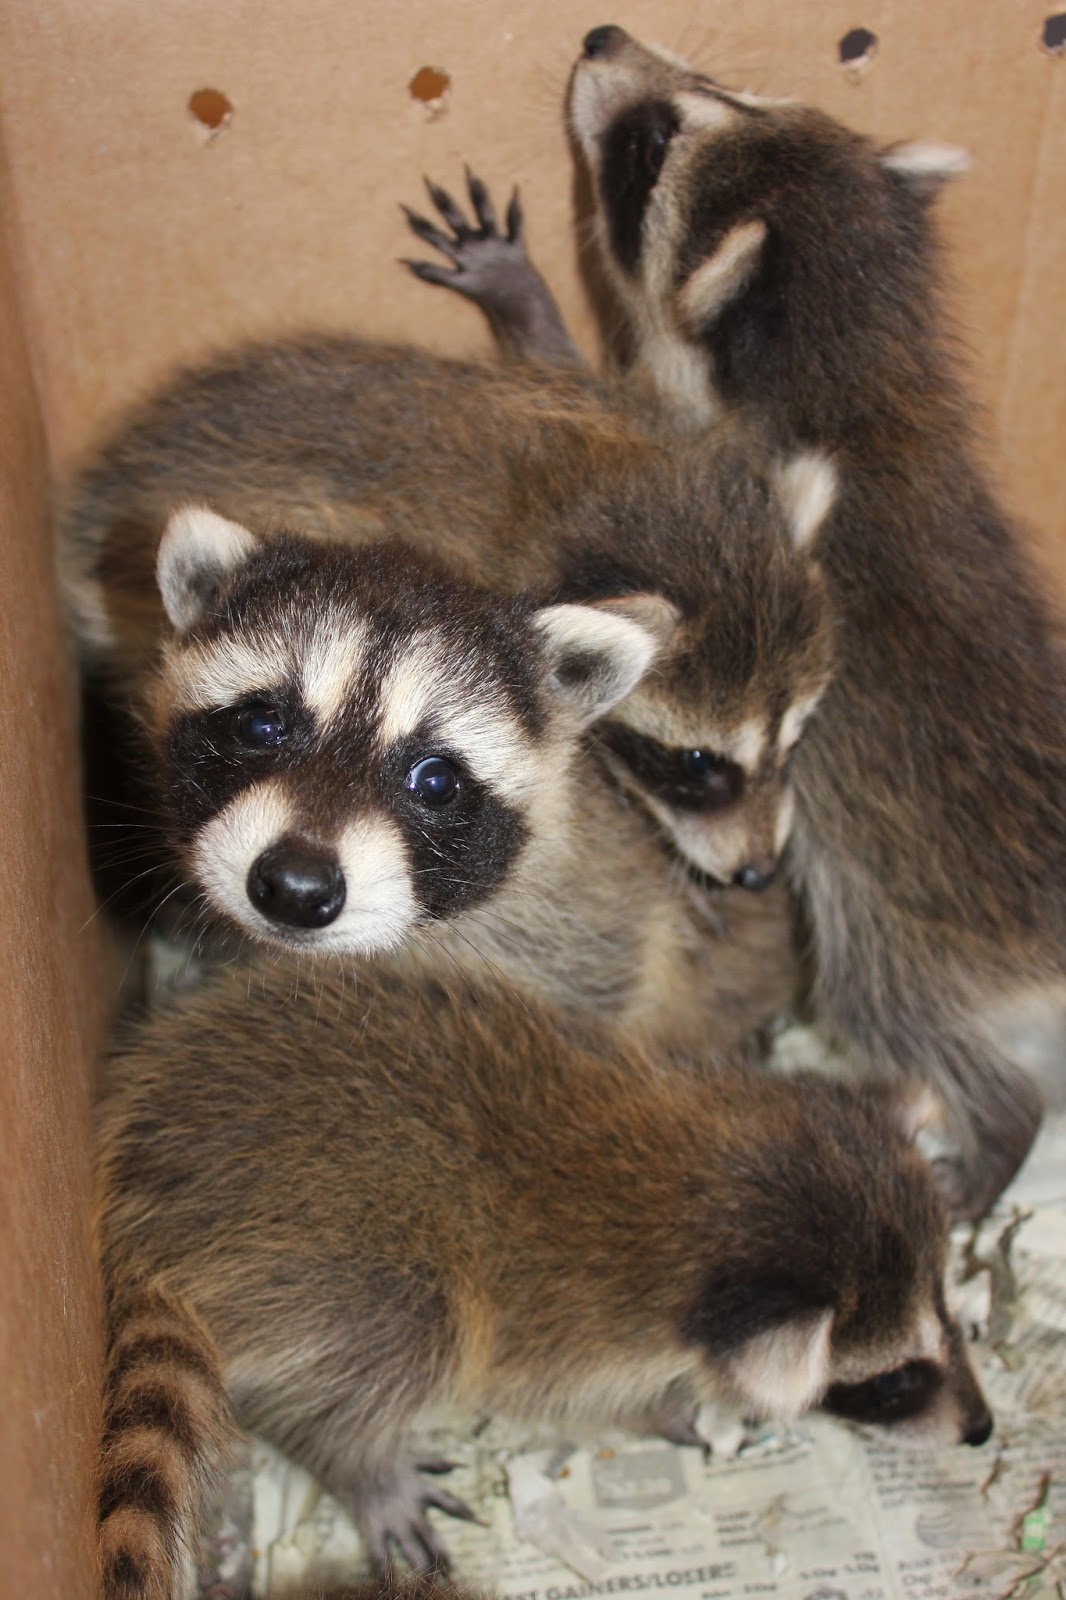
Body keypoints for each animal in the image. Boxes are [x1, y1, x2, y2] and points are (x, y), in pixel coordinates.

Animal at [96, 957, 991, 1597]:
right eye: (893, 1381)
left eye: (952, 1313)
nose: (983, 1432)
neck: (710, 1183)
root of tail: (139, 1211)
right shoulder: (578, 1331)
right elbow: (590, 1400)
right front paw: (669, 1409)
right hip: (328, 1261)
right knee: (393, 1344)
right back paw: (364, 1467)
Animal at [406, 33, 1066, 1218]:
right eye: (741, 89)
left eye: (650, 145)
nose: (600, 39)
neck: (855, 359)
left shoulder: (690, 462)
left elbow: (569, 396)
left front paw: (525, 301)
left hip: (910, 923)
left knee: (904, 1016)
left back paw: (992, 1139)